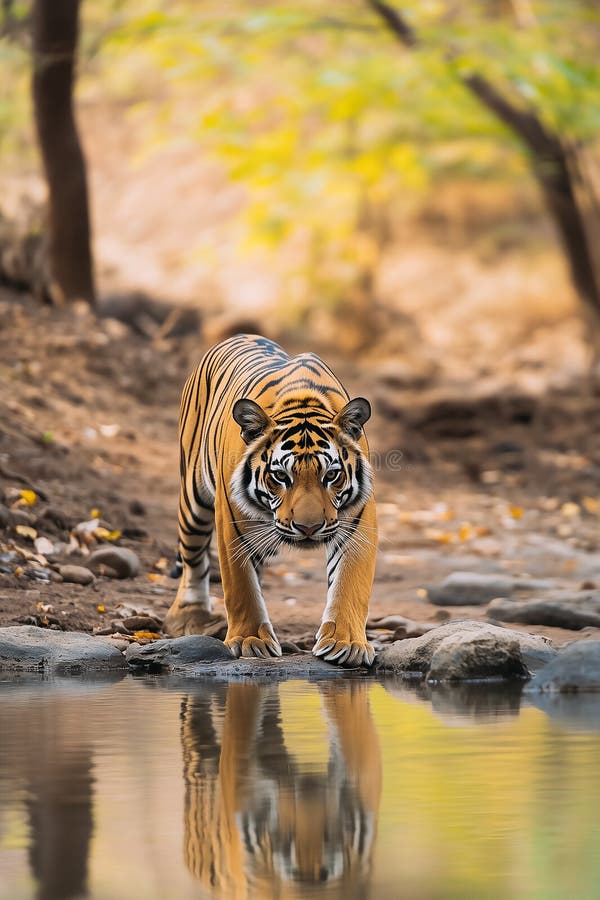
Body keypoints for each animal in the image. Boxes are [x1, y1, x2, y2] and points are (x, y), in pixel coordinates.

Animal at [163, 333, 377, 667]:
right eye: (280, 476)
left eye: (331, 475)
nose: (308, 528)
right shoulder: (231, 520)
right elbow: (241, 586)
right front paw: (251, 640)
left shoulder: (358, 518)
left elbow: (350, 581)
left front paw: (347, 642)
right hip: (193, 500)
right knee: (193, 557)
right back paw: (191, 617)